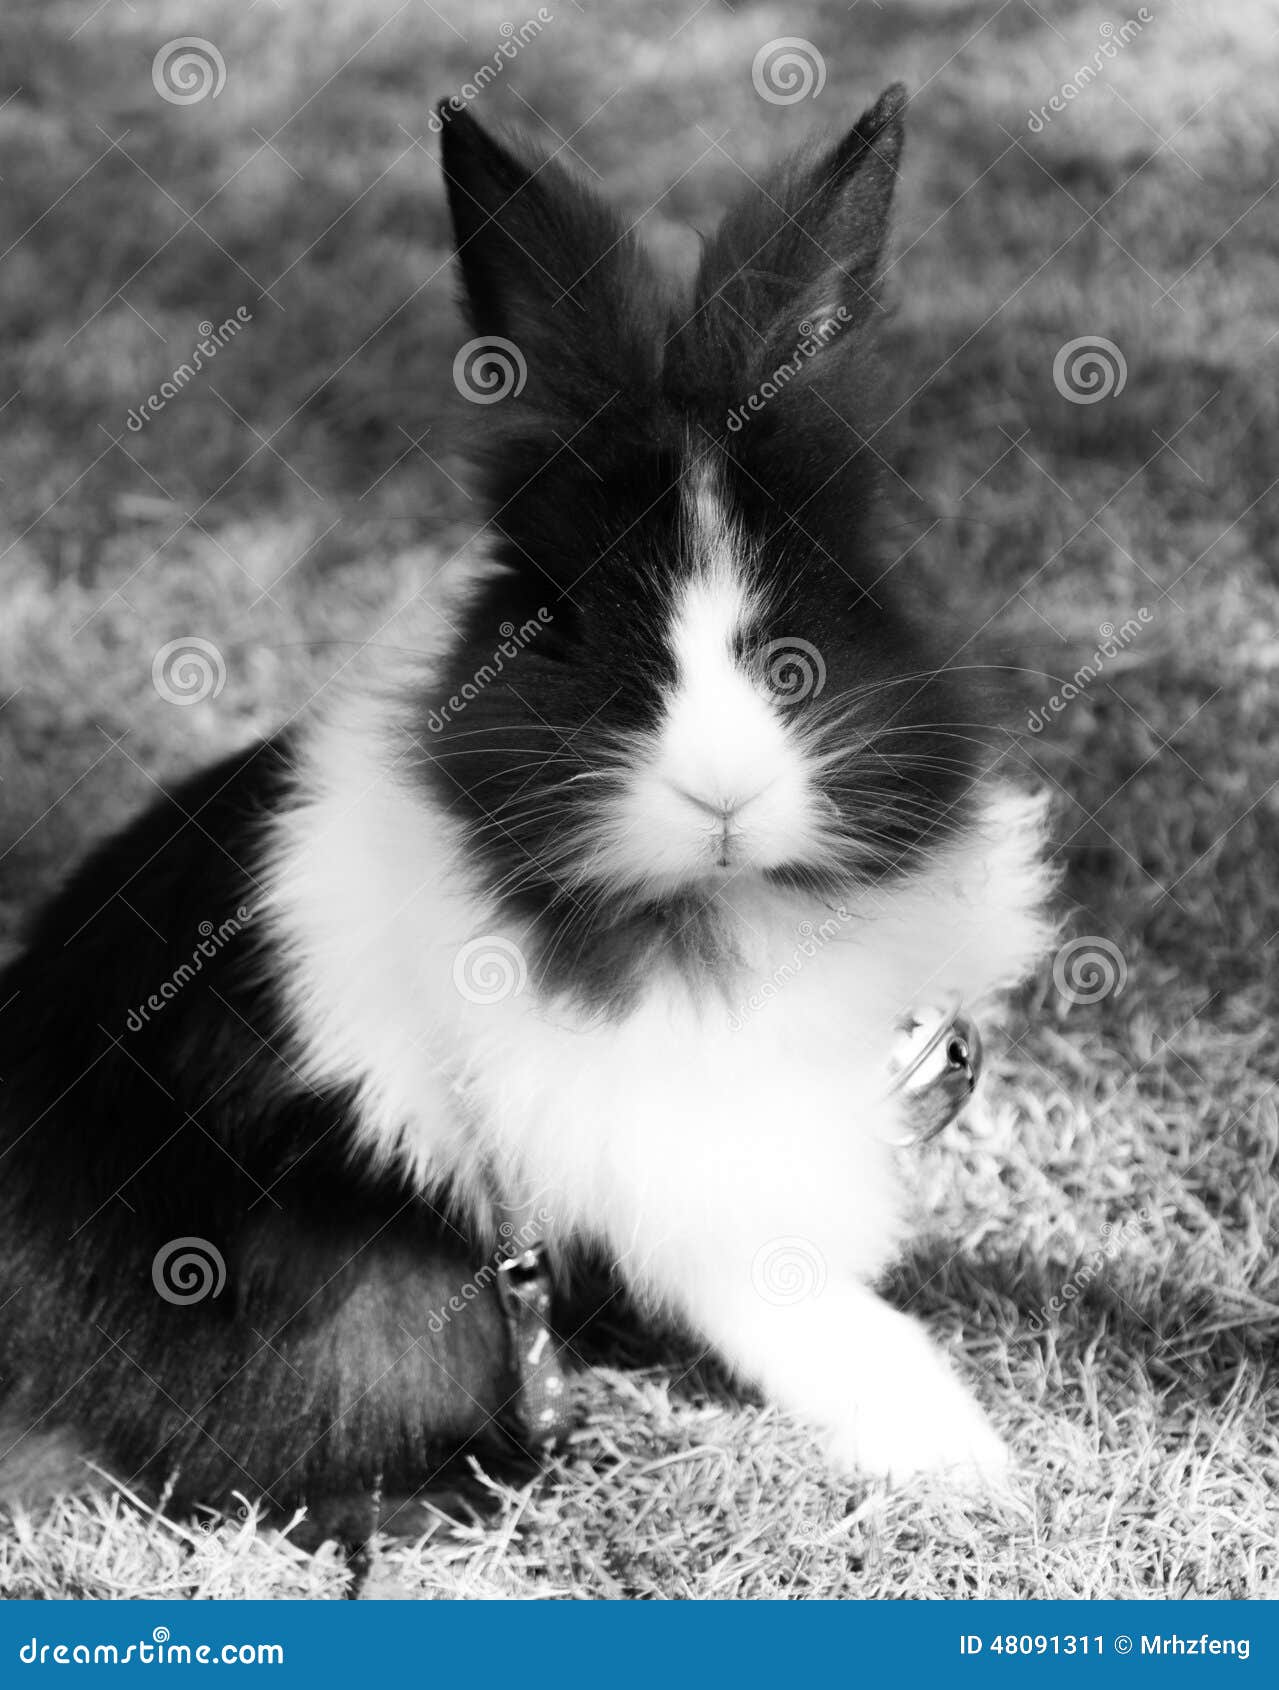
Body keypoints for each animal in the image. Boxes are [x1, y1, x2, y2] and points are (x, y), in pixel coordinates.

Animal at [0, 86, 1053, 1536]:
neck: (718, 905)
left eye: (830, 595)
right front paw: (963, 1457)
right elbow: (801, 1309)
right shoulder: (669, 1160)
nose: (721, 788)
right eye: (551, 616)